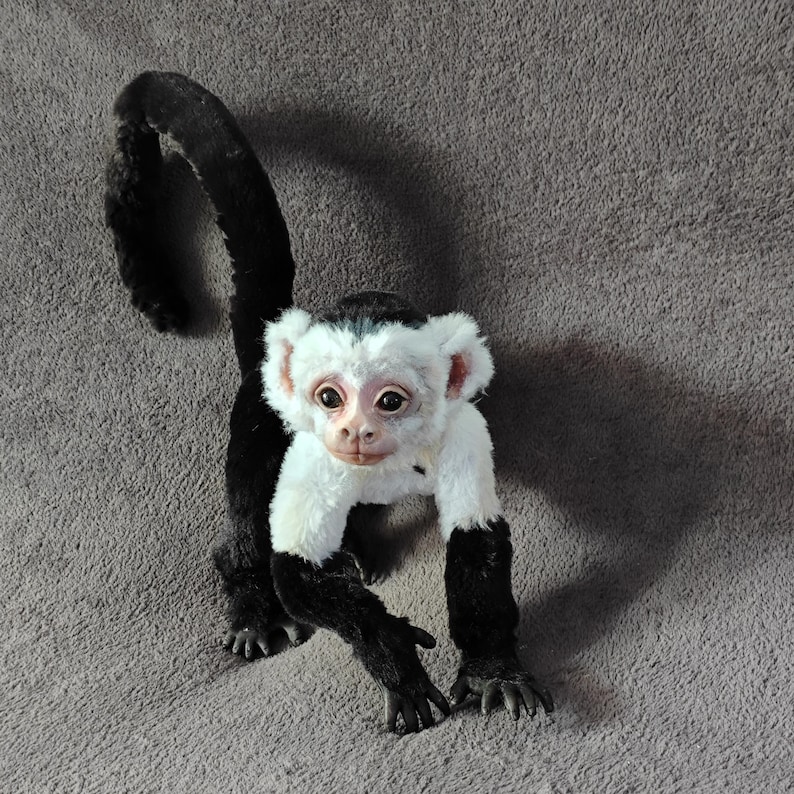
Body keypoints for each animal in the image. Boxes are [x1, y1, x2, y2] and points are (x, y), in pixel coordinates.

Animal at [105, 71, 553, 732]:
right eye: (329, 396)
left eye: (390, 399)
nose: (355, 432)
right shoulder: (312, 451)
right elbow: (296, 570)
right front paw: (391, 653)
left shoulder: (460, 433)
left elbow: (479, 543)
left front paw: (492, 668)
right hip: (258, 419)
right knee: (249, 514)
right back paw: (252, 603)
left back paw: (355, 546)